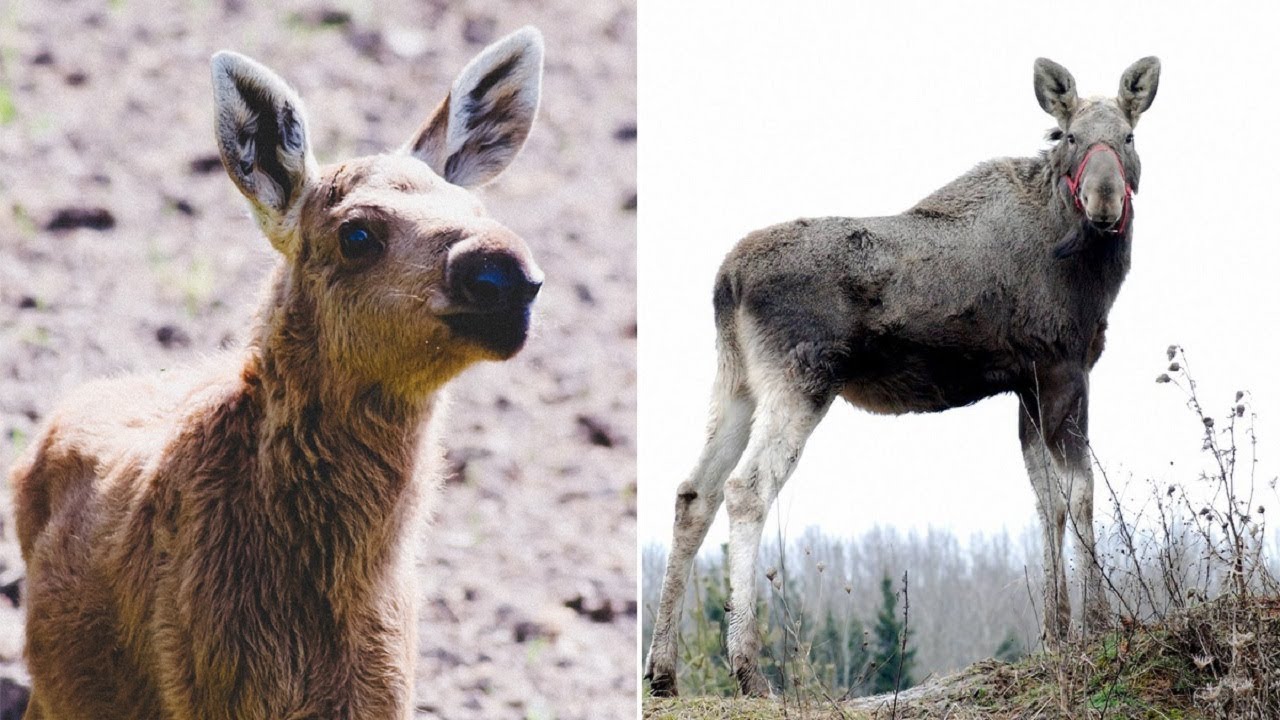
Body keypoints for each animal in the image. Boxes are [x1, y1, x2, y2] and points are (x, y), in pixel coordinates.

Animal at [644, 57, 1160, 697]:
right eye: (1068, 137)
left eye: (1129, 137)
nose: (1104, 200)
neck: (1092, 271)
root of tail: (726, 280)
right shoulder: (1064, 370)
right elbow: (1081, 492)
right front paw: (1097, 628)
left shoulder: (1027, 386)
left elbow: (1047, 500)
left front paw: (1055, 633)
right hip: (801, 379)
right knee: (745, 490)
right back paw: (747, 668)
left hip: (736, 381)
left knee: (695, 492)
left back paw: (662, 670)